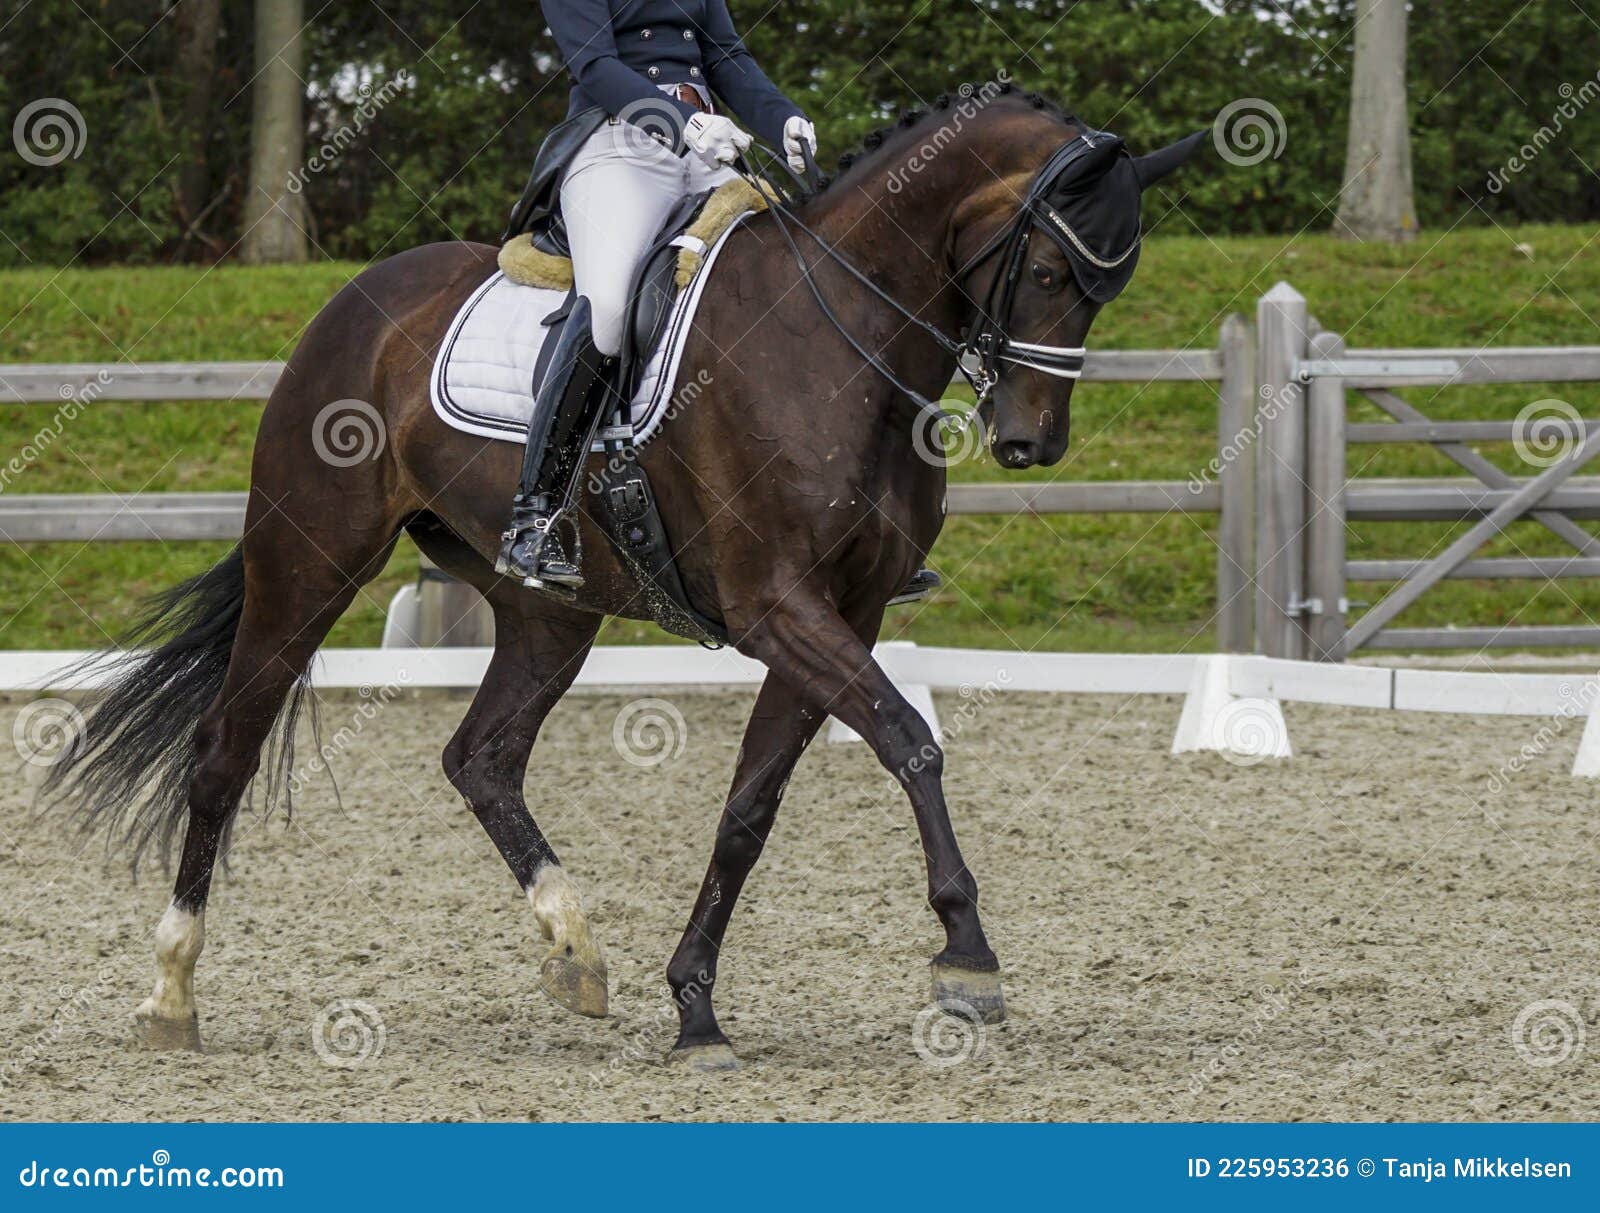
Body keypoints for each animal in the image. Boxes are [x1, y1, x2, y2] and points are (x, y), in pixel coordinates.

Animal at [47, 87, 1204, 1070]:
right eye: (1048, 273)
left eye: (1109, 287)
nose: (1029, 442)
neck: (840, 341)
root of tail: (355, 301)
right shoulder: (778, 604)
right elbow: (908, 740)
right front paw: (966, 957)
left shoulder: (848, 611)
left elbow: (751, 805)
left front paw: (695, 1006)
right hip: (310, 558)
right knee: (222, 754)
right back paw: (171, 993)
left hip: (546, 610)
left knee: (482, 757)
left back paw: (575, 951)